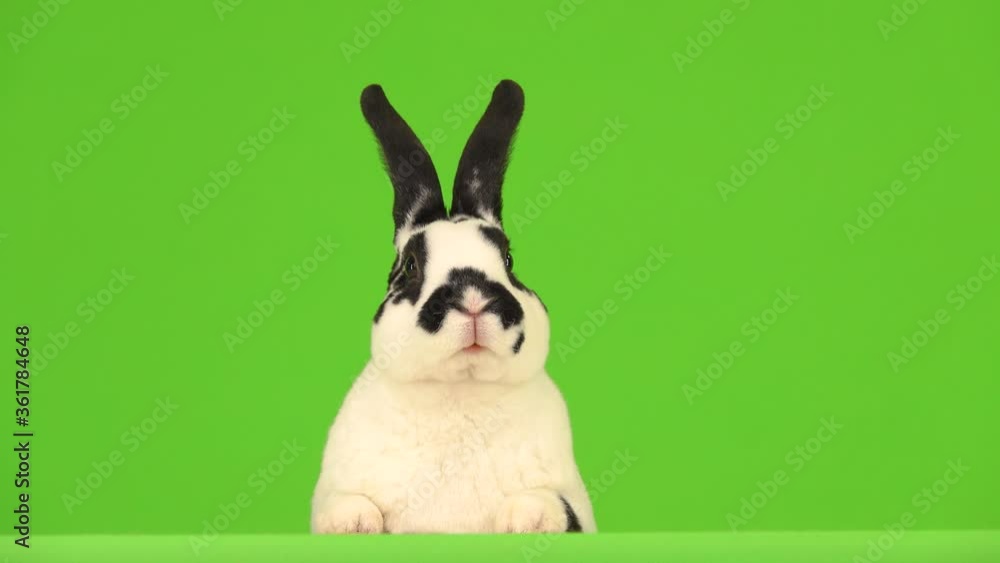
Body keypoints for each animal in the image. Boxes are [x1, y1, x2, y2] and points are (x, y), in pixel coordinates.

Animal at [310, 80, 596, 534]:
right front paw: (352, 520)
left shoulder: (577, 508)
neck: (461, 390)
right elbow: (343, 503)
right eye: (410, 265)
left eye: (509, 260)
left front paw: (528, 516)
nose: (473, 297)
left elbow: (557, 506)